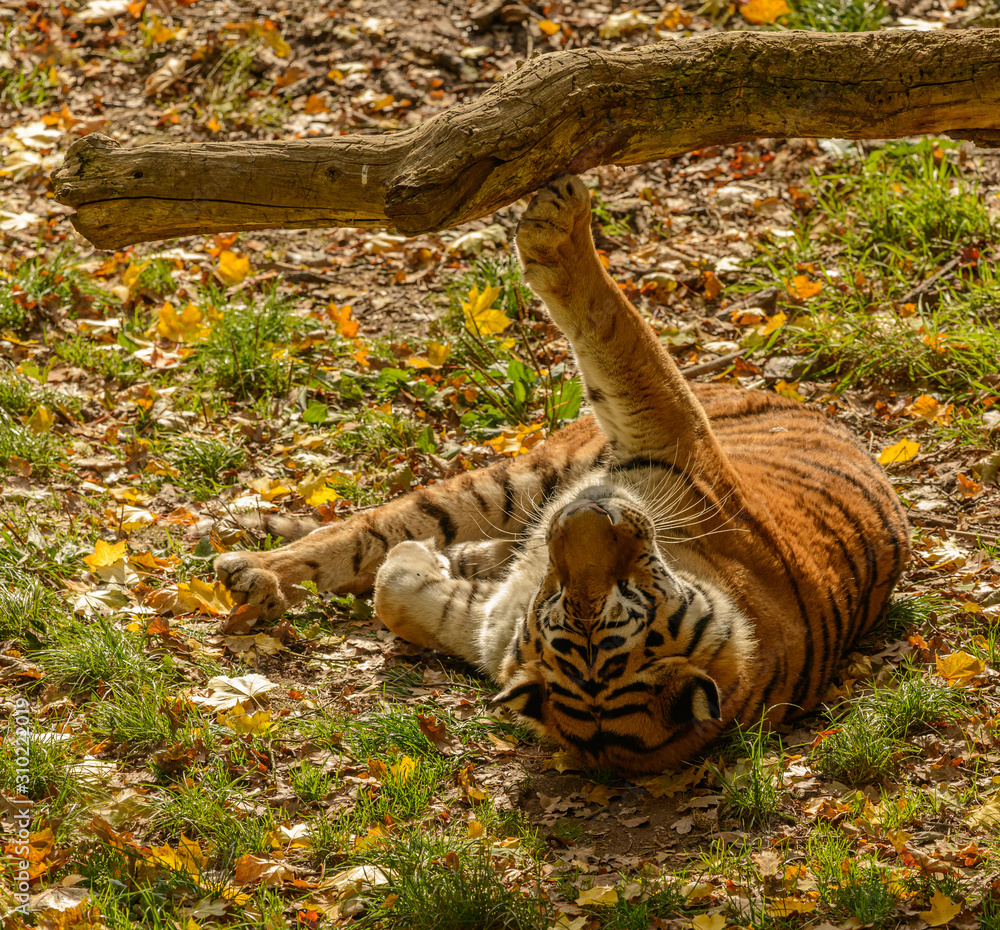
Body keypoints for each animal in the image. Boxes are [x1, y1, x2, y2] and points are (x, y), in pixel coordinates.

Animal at [215, 174, 909, 776]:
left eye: (626, 596)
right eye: (560, 604)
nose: (583, 513)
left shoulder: (669, 439)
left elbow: (613, 328)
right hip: (519, 481)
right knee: (366, 529)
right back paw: (256, 571)